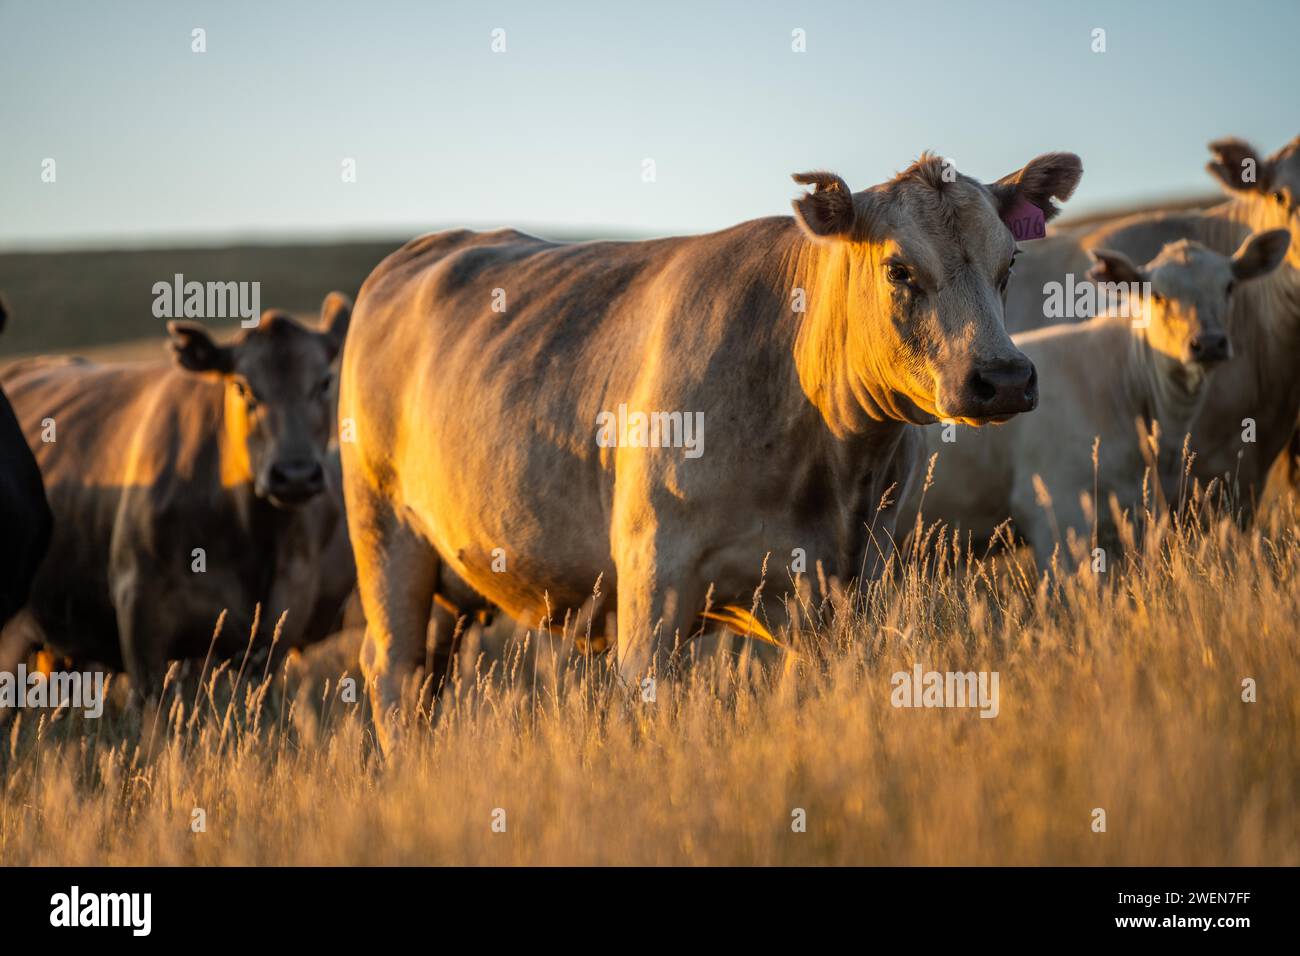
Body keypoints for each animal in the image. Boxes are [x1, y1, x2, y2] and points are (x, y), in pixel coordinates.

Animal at [0, 293, 354, 695]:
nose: (295, 475)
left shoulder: (273, 636)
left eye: (324, 382)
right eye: (242, 387)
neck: (248, 534)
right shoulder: (140, 616)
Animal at [338, 151, 1084, 748]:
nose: (1004, 377)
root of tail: (418, 252)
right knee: (394, 674)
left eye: (1009, 264)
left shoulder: (852, 584)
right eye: (899, 269)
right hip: (386, 534)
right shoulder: (652, 581)